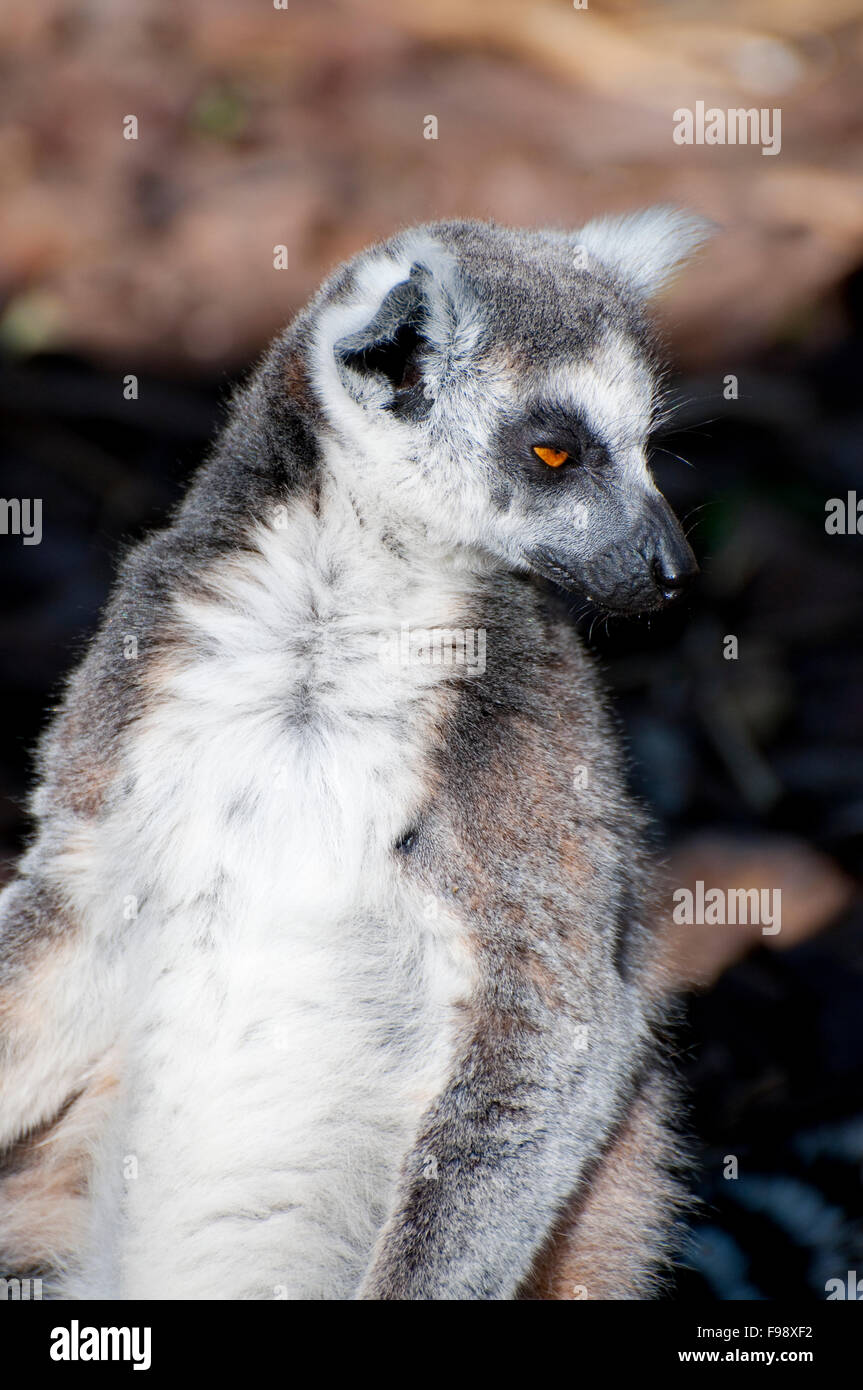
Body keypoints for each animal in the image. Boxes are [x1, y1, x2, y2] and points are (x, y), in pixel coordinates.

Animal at [0, 208, 708, 1300]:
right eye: (553, 452)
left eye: (641, 445)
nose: (671, 570)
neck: (333, 620)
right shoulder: (140, 674)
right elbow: (74, 908)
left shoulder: (534, 747)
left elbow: (555, 1027)